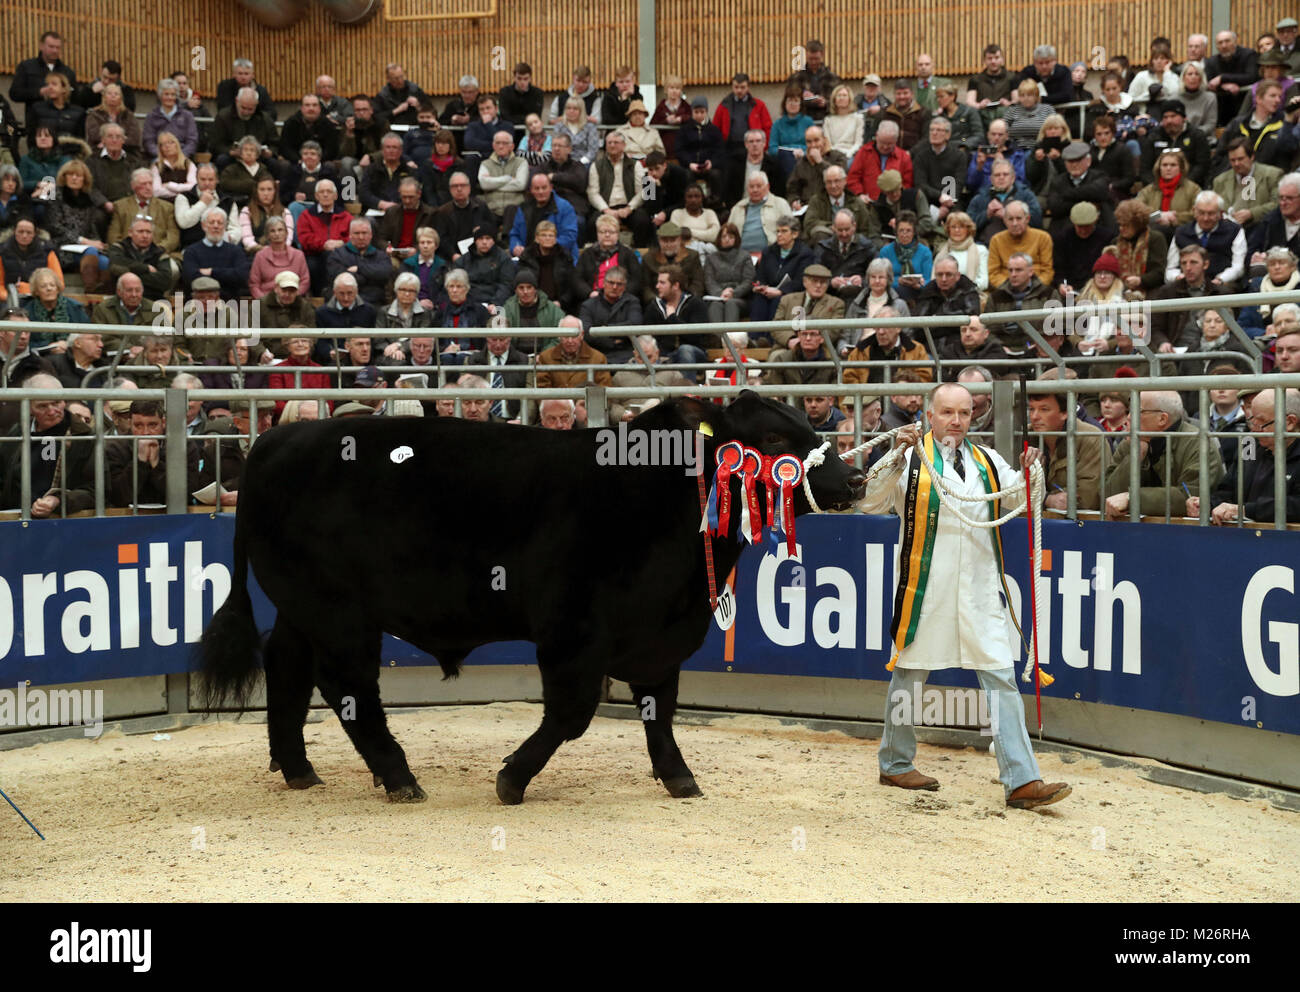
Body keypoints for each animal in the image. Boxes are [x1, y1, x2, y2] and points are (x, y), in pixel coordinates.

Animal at [199, 392, 866, 804]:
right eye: (774, 435)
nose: (855, 478)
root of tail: (280, 438)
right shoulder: (573, 631)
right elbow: (571, 716)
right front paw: (512, 779)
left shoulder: (659, 634)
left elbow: (660, 710)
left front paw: (680, 778)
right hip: (338, 611)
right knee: (349, 689)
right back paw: (398, 776)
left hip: (303, 606)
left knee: (287, 664)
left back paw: (299, 769)